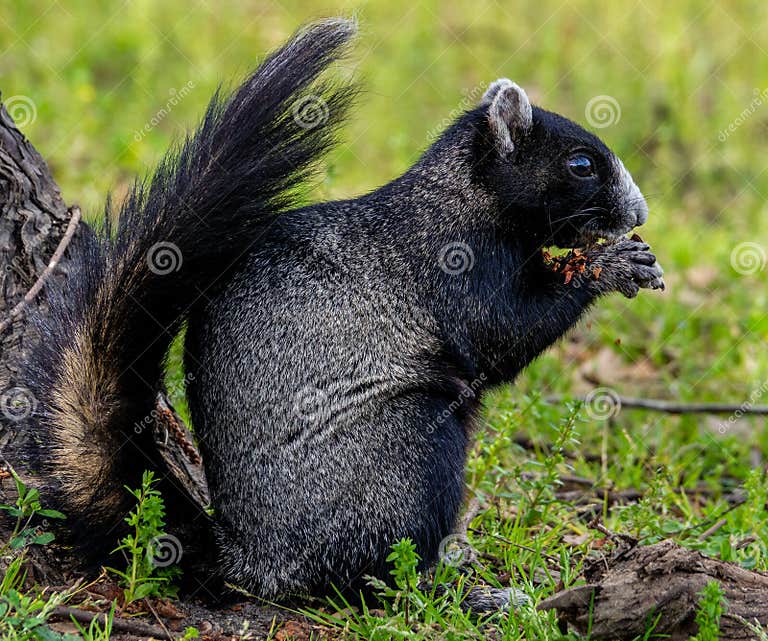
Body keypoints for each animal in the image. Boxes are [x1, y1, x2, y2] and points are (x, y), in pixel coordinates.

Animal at [20, 18, 664, 599]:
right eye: (581, 165)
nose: (640, 213)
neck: (462, 197)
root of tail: (254, 560)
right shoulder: (455, 265)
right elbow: (502, 333)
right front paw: (611, 265)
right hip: (407, 449)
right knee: (376, 574)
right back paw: (453, 591)